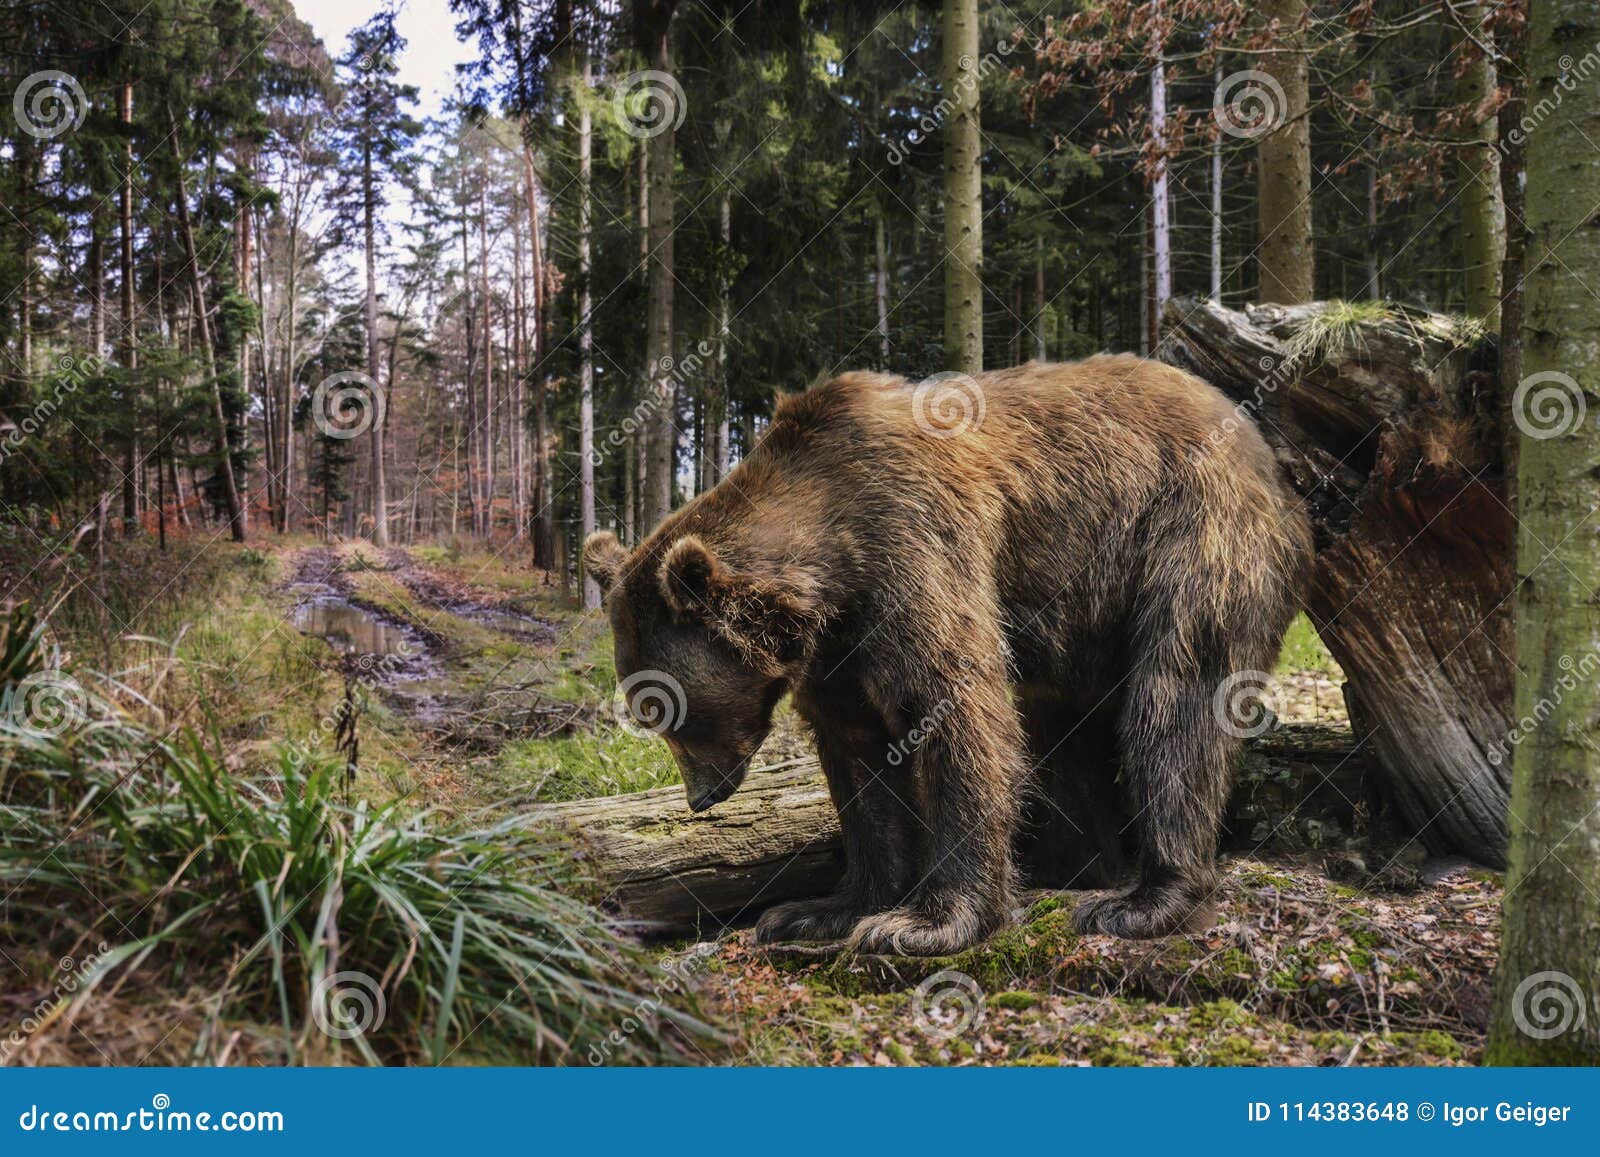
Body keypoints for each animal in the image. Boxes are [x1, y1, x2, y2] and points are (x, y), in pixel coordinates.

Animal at [584, 356, 1311, 955]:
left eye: (660, 710)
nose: (700, 796)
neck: (833, 567)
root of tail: (1265, 451)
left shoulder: (917, 549)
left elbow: (957, 714)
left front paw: (927, 920)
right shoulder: (840, 652)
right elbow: (861, 765)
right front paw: (819, 910)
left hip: (1187, 531)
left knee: (1175, 699)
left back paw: (1143, 898)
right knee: (1064, 727)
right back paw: (1072, 864)